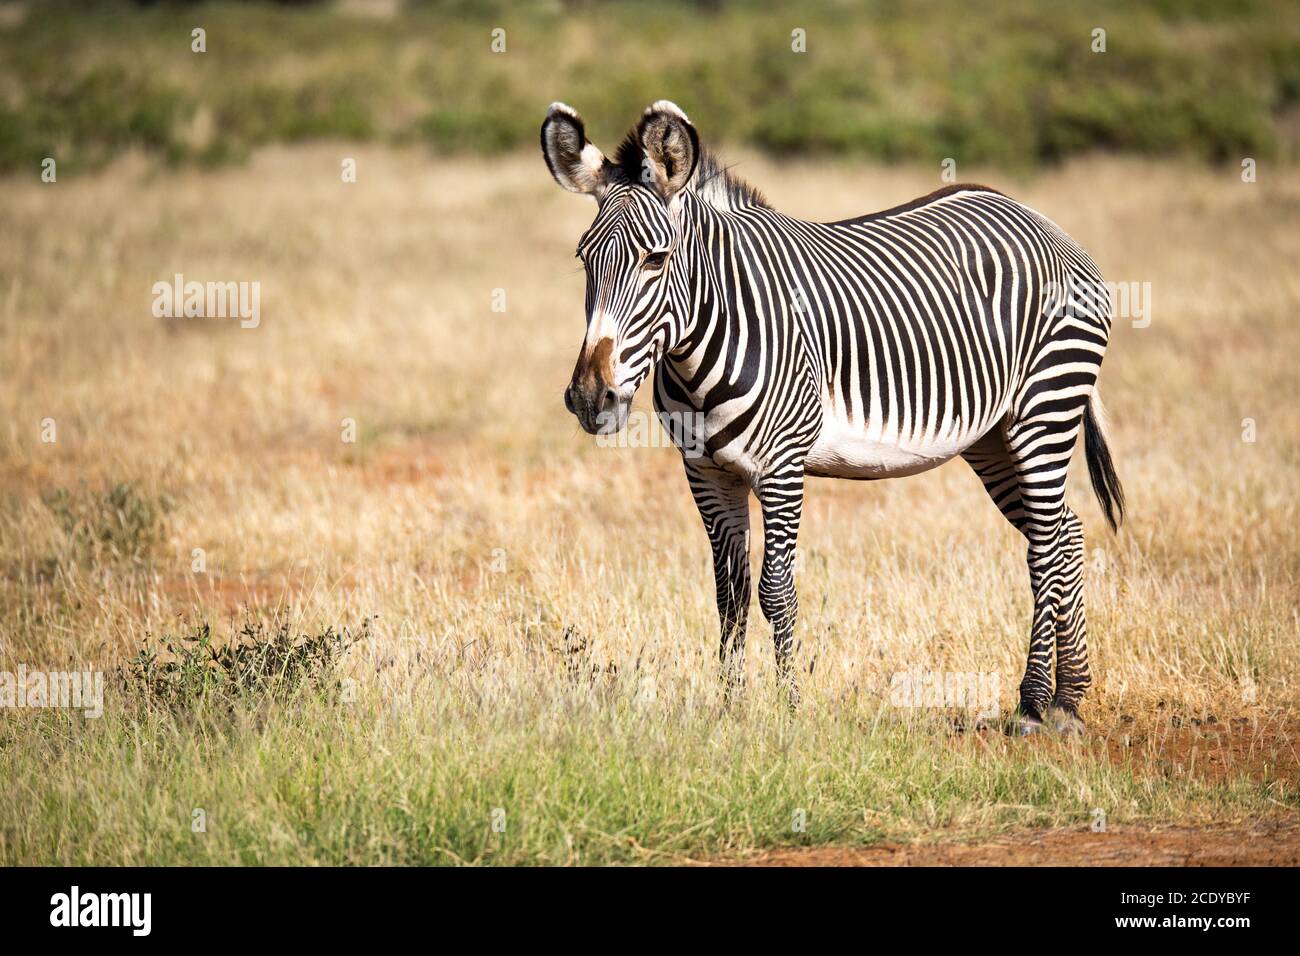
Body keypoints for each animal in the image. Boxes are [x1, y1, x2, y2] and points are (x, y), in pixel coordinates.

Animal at [541, 100, 1124, 733]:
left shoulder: (781, 467)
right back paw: (1069, 698)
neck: (704, 340)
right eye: (585, 261)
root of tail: (1041, 221)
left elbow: (775, 591)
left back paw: (1034, 703)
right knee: (1066, 534)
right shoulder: (707, 473)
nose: (590, 398)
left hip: (1044, 407)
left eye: (656, 260)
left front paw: (789, 708)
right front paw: (730, 710)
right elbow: (729, 593)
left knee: (1045, 547)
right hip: (992, 438)